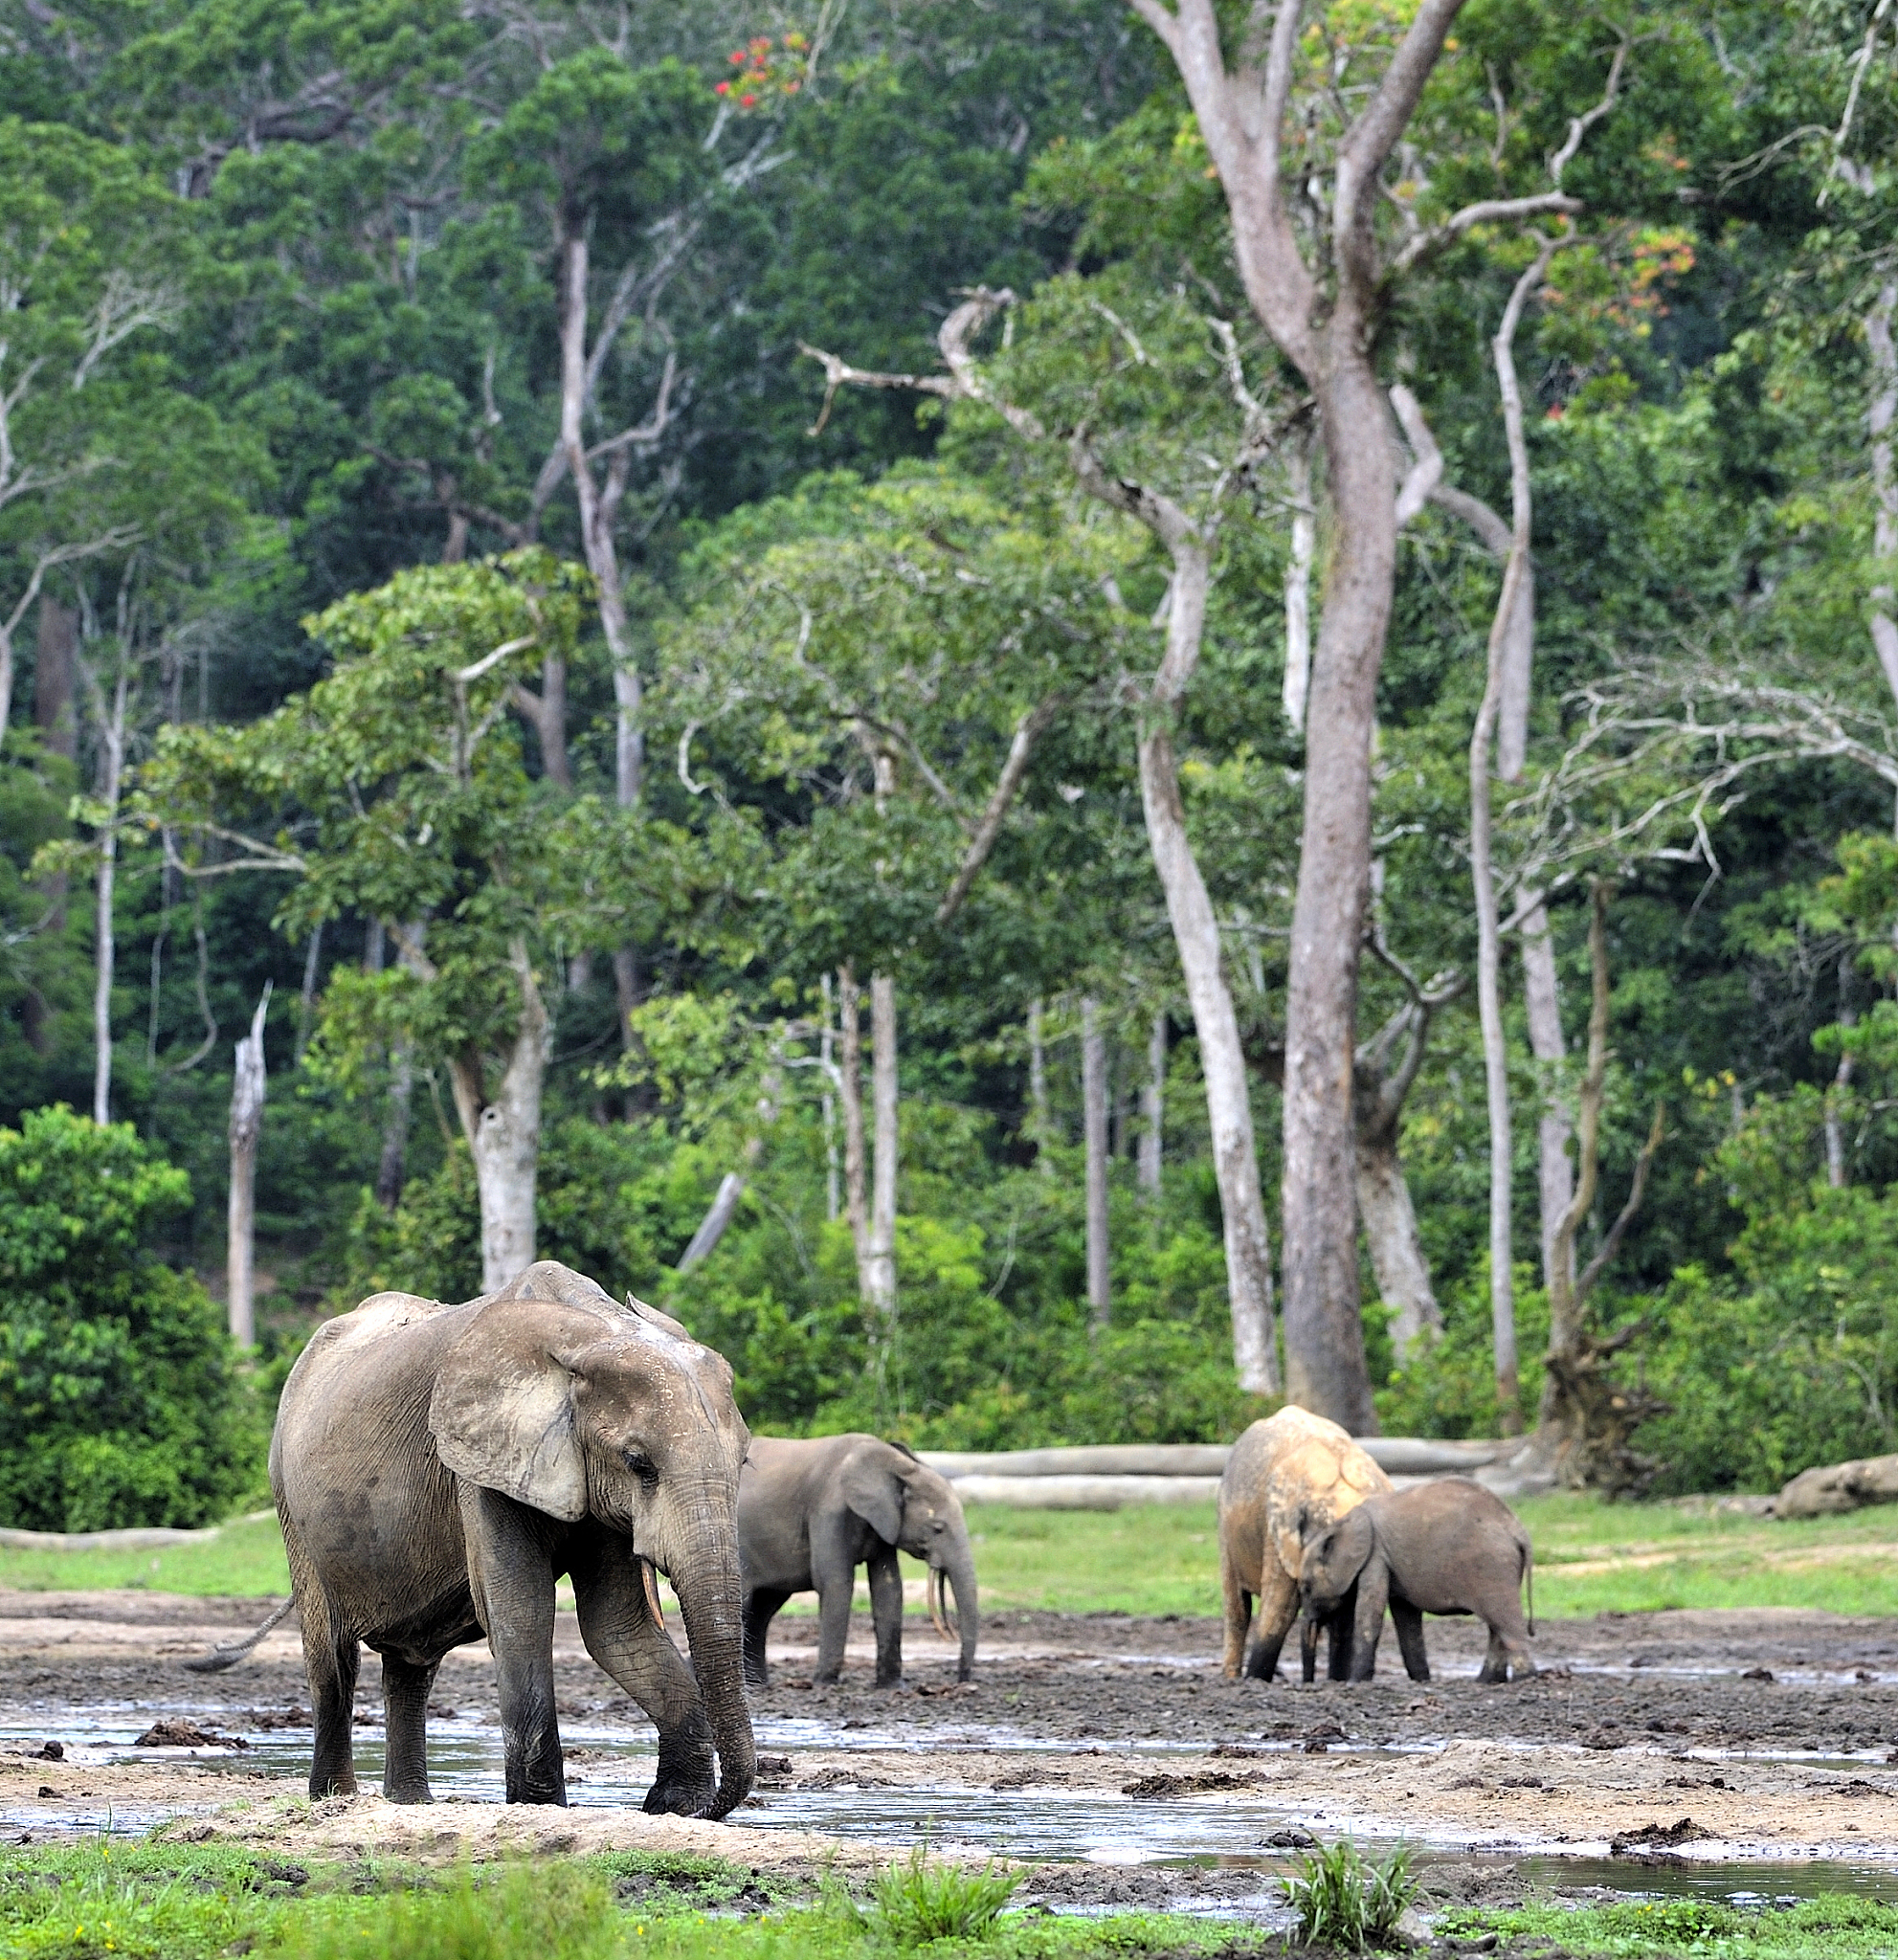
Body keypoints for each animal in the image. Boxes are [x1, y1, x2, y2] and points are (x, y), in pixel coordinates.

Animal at [193, 1261, 755, 1816]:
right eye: (639, 1465)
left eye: (744, 1462)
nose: (710, 1808)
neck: (589, 1332)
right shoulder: (478, 1464)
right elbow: (522, 1615)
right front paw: (540, 1808)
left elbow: (615, 1628)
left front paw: (674, 1805)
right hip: (289, 1500)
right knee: (331, 1656)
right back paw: (336, 1799)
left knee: (411, 1663)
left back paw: (411, 1804)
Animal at [737, 1434, 978, 1688]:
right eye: (937, 1528)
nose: (961, 1680)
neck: (898, 1466)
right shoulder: (829, 1511)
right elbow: (835, 1582)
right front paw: (824, 1683)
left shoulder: (884, 1522)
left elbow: (888, 1586)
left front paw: (892, 1686)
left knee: (762, 1610)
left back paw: (758, 1684)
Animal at [1218, 1405, 1391, 1683]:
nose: (1307, 1682)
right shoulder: (1276, 1530)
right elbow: (1281, 1607)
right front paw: (1256, 1681)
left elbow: (1349, 1615)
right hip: (1225, 1521)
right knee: (1237, 1606)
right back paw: (1232, 1679)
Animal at [1297, 1478, 1536, 1683]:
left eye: (1306, 1588)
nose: (1309, 1683)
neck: (1340, 1524)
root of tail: (1518, 1530)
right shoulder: (1390, 1562)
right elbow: (1406, 1619)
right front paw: (1422, 1680)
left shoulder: (1375, 1557)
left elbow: (1370, 1616)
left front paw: (1355, 1683)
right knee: (1497, 1627)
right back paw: (1487, 1681)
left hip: (1491, 1565)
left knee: (1504, 1621)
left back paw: (1525, 1677)